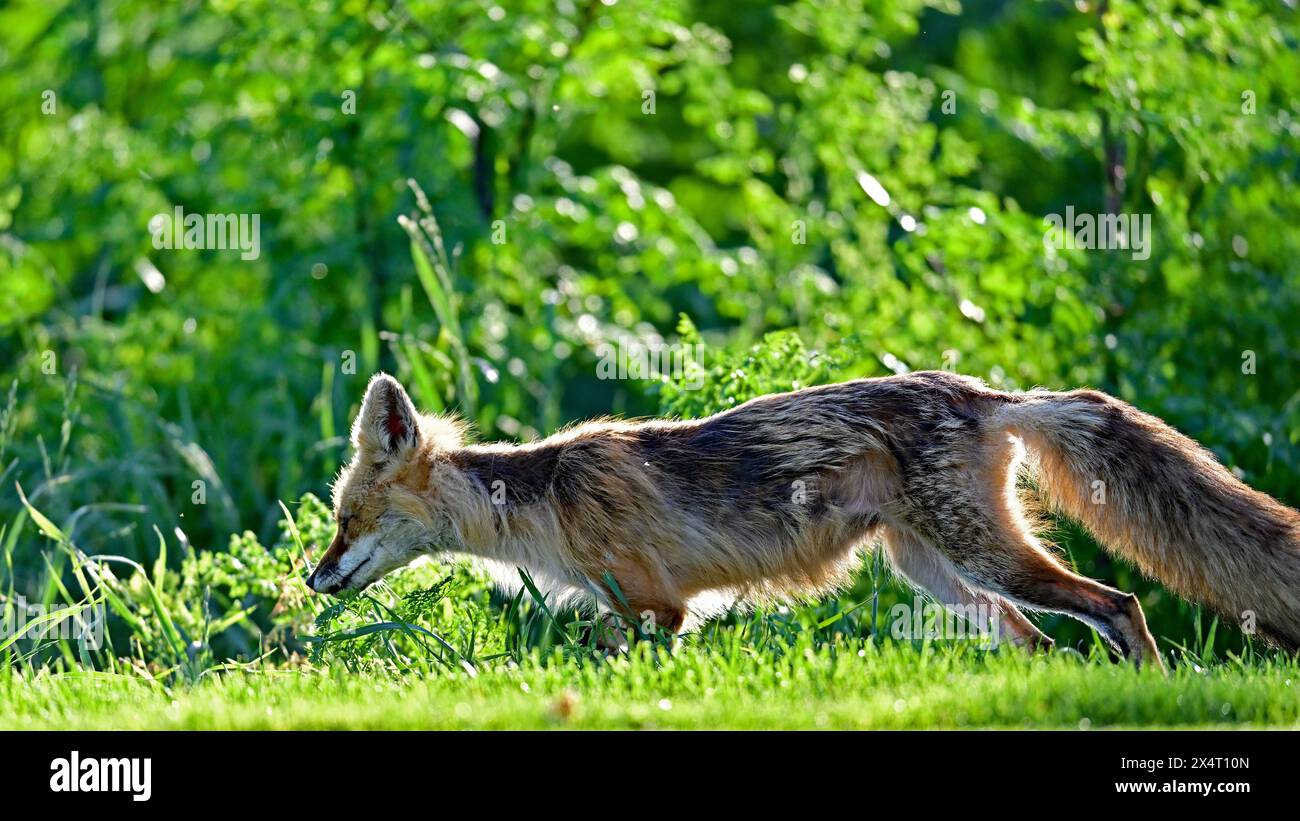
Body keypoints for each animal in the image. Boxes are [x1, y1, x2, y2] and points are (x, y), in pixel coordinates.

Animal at [305, 371, 1300, 670]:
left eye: (349, 519)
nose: (312, 578)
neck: (547, 505)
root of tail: (987, 392)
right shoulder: (636, 610)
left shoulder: (655, 607)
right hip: (940, 575)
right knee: (1043, 639)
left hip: (985, 558)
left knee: (1117, 603)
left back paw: (1156, 688)